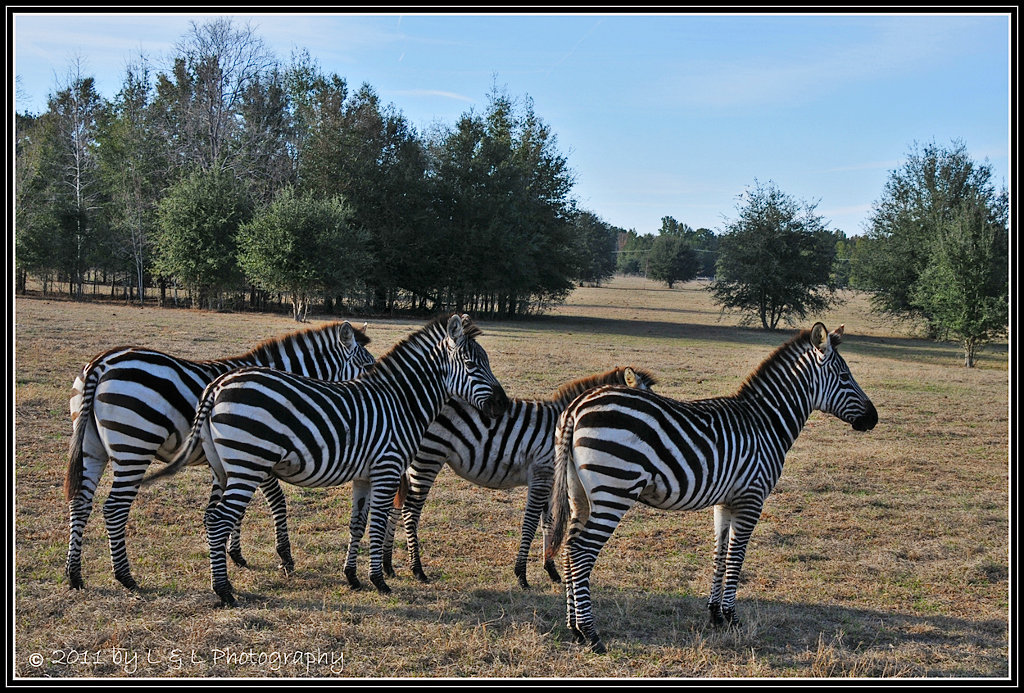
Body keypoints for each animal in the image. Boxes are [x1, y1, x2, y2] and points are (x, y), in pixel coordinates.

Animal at [65, 320, 374, 592]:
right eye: (369, 366)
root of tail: (101, 363)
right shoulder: (259, 455)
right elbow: (276, 502)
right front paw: (283, 557)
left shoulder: (233, 461)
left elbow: (230, 511)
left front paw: (232, 554)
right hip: (134, 446)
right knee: (114, 508)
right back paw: (125, 577)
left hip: (91, 447)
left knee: (80, 502)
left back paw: (74, 575)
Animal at [142, 314, 509, 606]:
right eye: (473, 365)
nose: (503, 405)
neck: (400, 403)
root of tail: (217, 385)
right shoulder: (387, 468)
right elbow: (378, 524)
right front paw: (379, 581)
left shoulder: (364, 475)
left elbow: (358, 523)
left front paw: (353, 577)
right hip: (247, 464)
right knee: (219, 521)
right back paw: (224, 591)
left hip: (224, 467)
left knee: (210, 518)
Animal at [382, 365, 658, 590]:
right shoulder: (542, 474)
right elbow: (530, 524)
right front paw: (522, 575)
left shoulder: (550, 480)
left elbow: (548, 522)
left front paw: (551, 570)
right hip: (429, 457)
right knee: (410, 511)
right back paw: (417, 569)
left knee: (395, 507)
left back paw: (388, 566)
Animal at [547, 323, 877, 653]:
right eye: (845, 376)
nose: (873, 419)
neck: (766, 423)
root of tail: (575, 407)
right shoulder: (751, 498)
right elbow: (736, 556)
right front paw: (731, 617)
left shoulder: (726, 500)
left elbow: (720, 553)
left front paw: (715, 614)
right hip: (614, 491)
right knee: (581, 551)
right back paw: (591, 634)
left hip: (579, 495)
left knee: (568, 549)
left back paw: (574, 629)